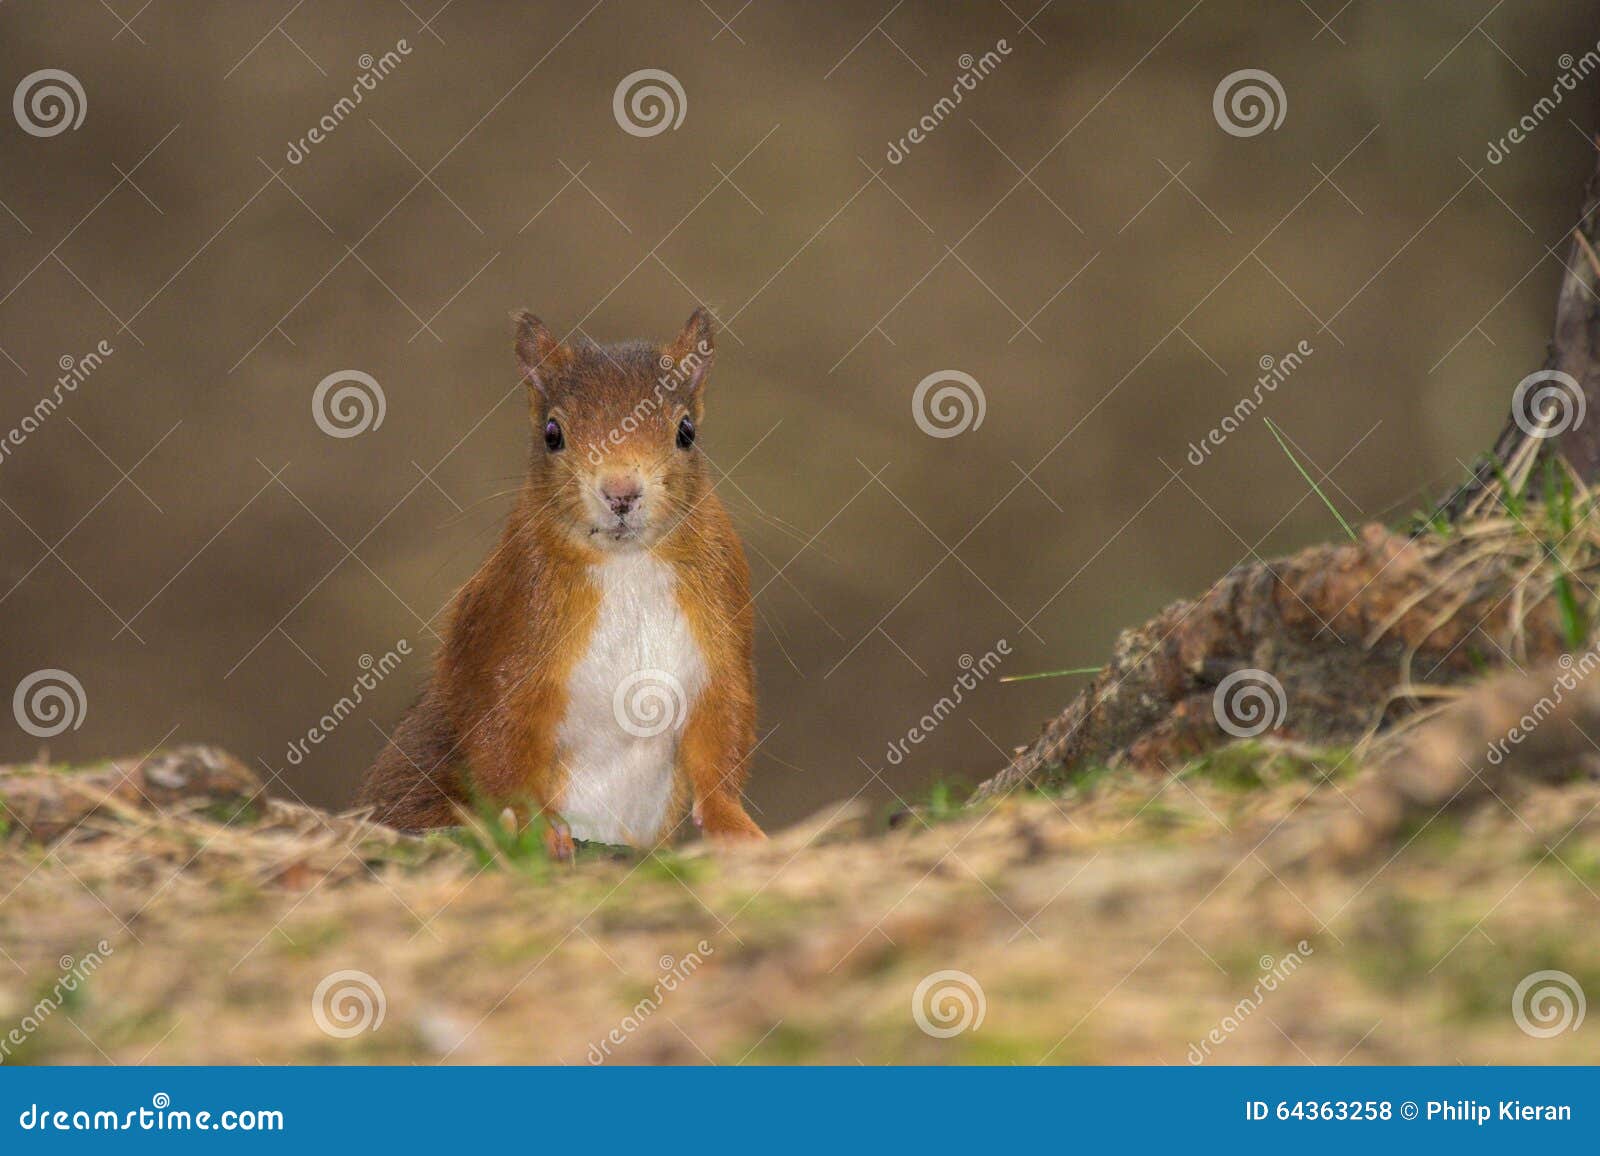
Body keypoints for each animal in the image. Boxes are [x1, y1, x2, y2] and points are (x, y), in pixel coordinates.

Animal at [357, 308, 765, 856]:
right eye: (552, 433)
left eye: (687, 431)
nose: (621, 492)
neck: (626, 565)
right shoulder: (508, 621)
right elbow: (501, 738)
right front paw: (536, 826)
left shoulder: (722, 616)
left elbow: (722, 729)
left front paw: (735, 825)